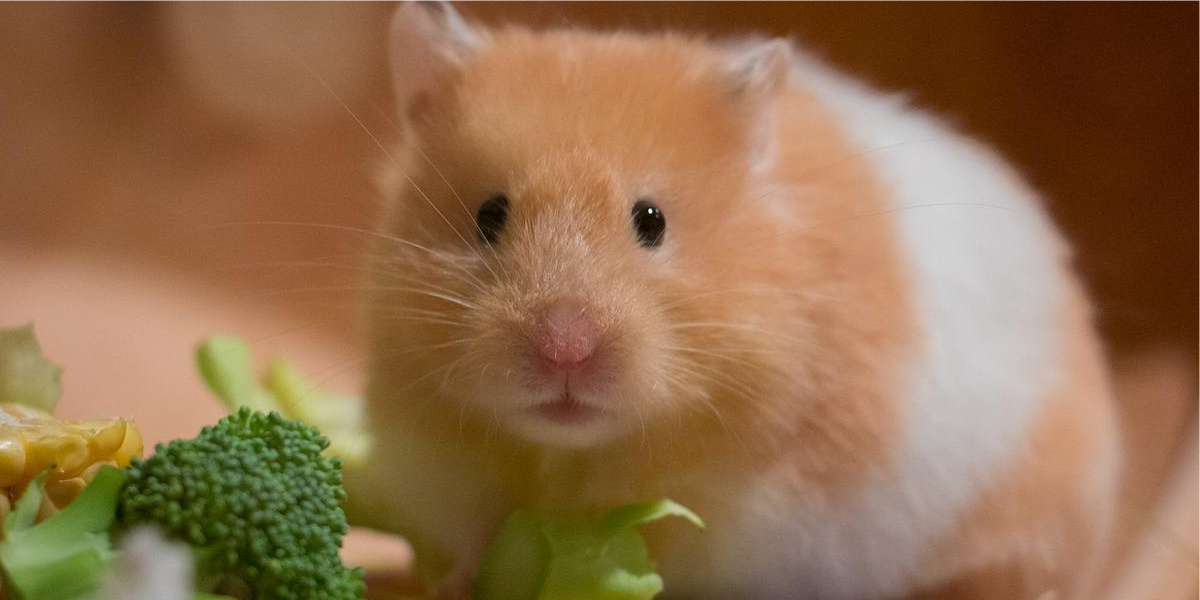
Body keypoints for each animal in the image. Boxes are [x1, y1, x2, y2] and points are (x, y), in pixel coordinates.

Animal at [350, 3, 1120, 599]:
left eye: (651, 220)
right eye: (489, 215)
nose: (565, 351)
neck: (572, 456)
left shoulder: (760, 512)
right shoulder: (448, 473)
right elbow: (477, 539)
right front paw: (458, 585)